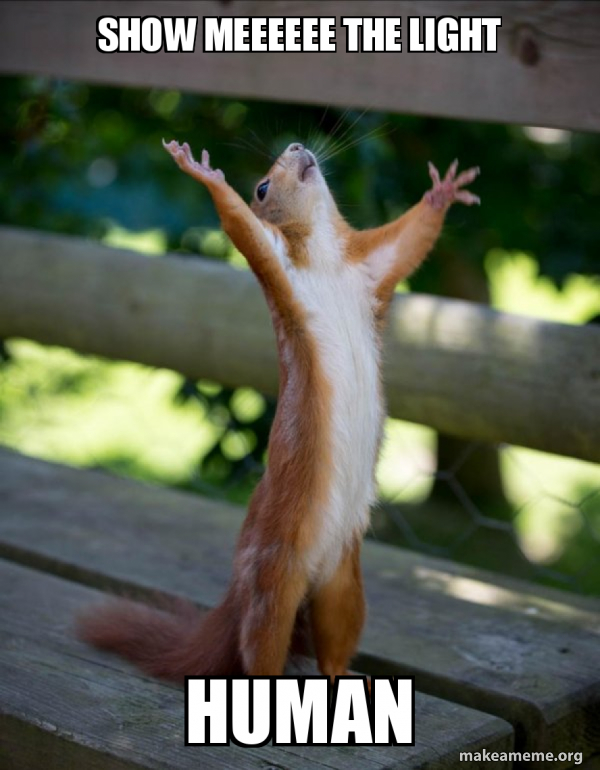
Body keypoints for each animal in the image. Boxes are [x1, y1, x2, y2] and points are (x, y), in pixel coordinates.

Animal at [77, 139, 479, 682]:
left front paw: (442, 193)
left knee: (335, 643)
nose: (296, 146)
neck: (326, 258)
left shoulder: (372, 266)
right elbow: (241, 227)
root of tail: (239, 591)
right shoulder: (277, 264)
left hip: (344, 586)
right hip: (273, 584)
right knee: (260, 650)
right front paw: (204, 173)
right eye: (262, 187)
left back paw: (343, 677)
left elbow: (410, 239)